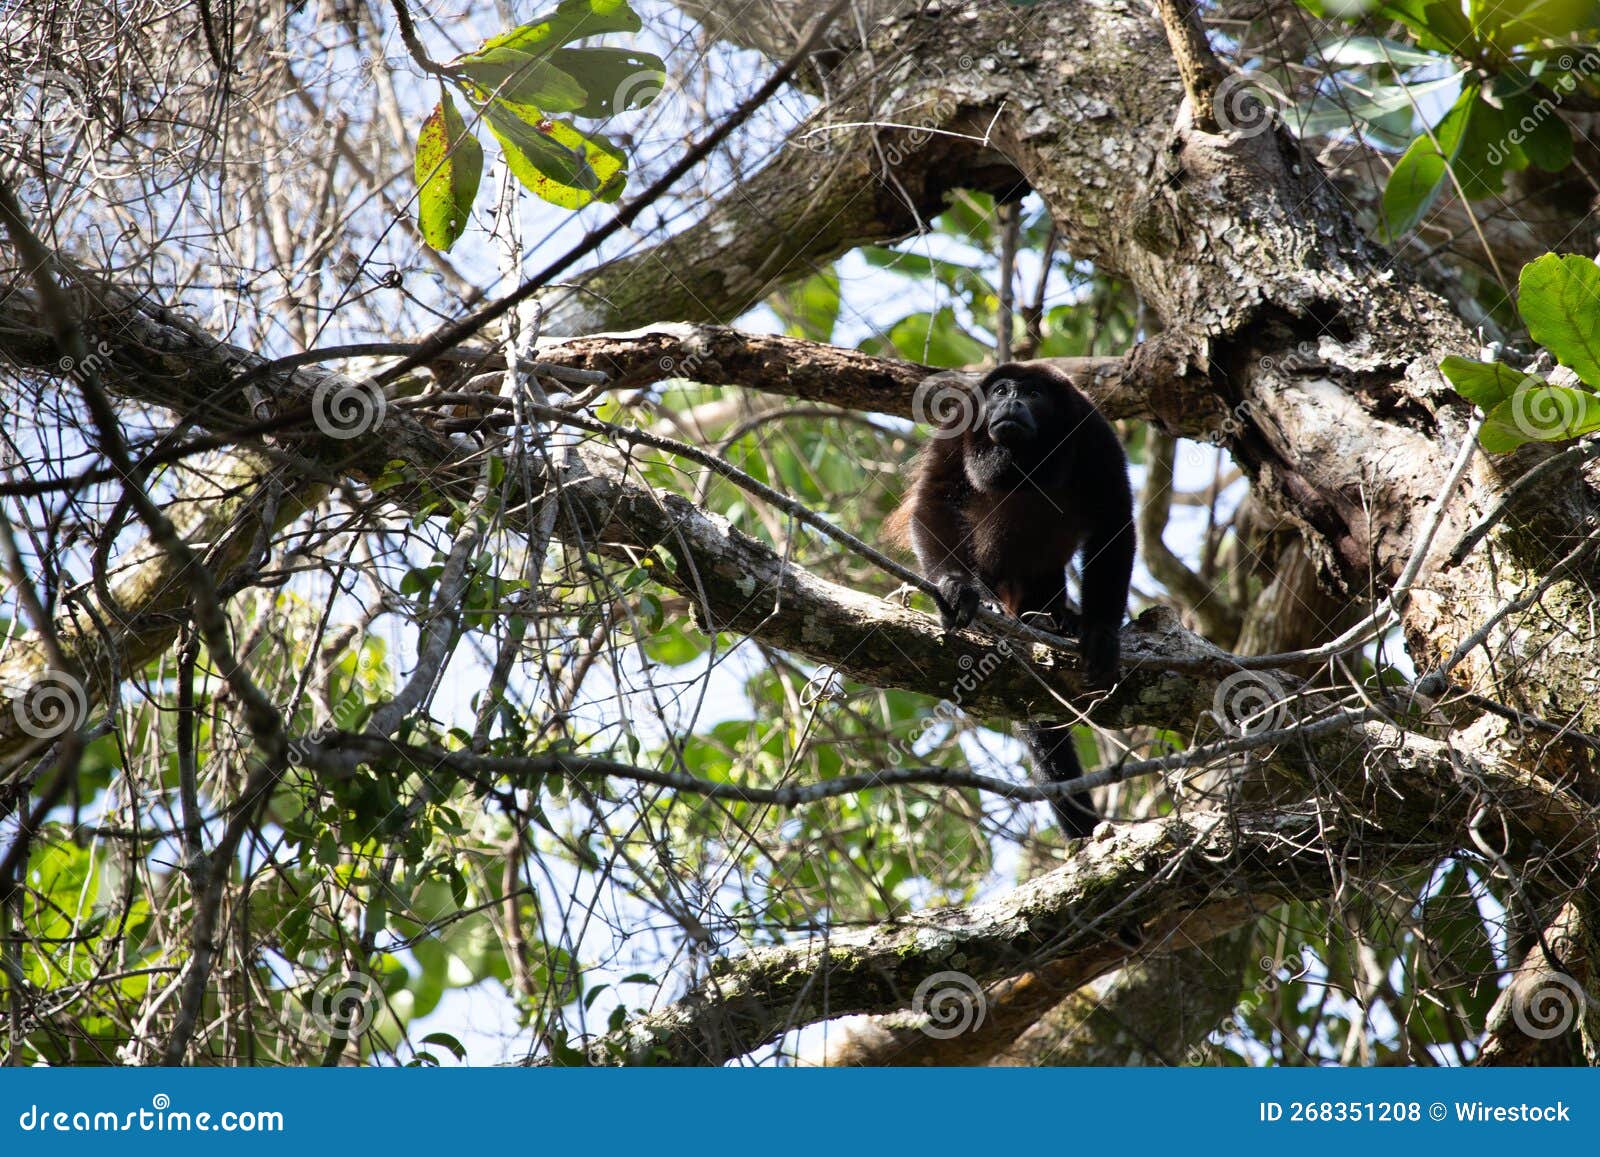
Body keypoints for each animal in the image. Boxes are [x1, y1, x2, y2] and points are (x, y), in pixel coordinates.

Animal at [886, 362, 1135, 838]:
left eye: (1033, 394)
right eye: (1001, 390)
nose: (1012, 402)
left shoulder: (1095, 434)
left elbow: (1114, 519)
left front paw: (1100, 631)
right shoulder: (956, 426)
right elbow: (935, 498)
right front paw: (956, 588)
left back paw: (1057, 618)